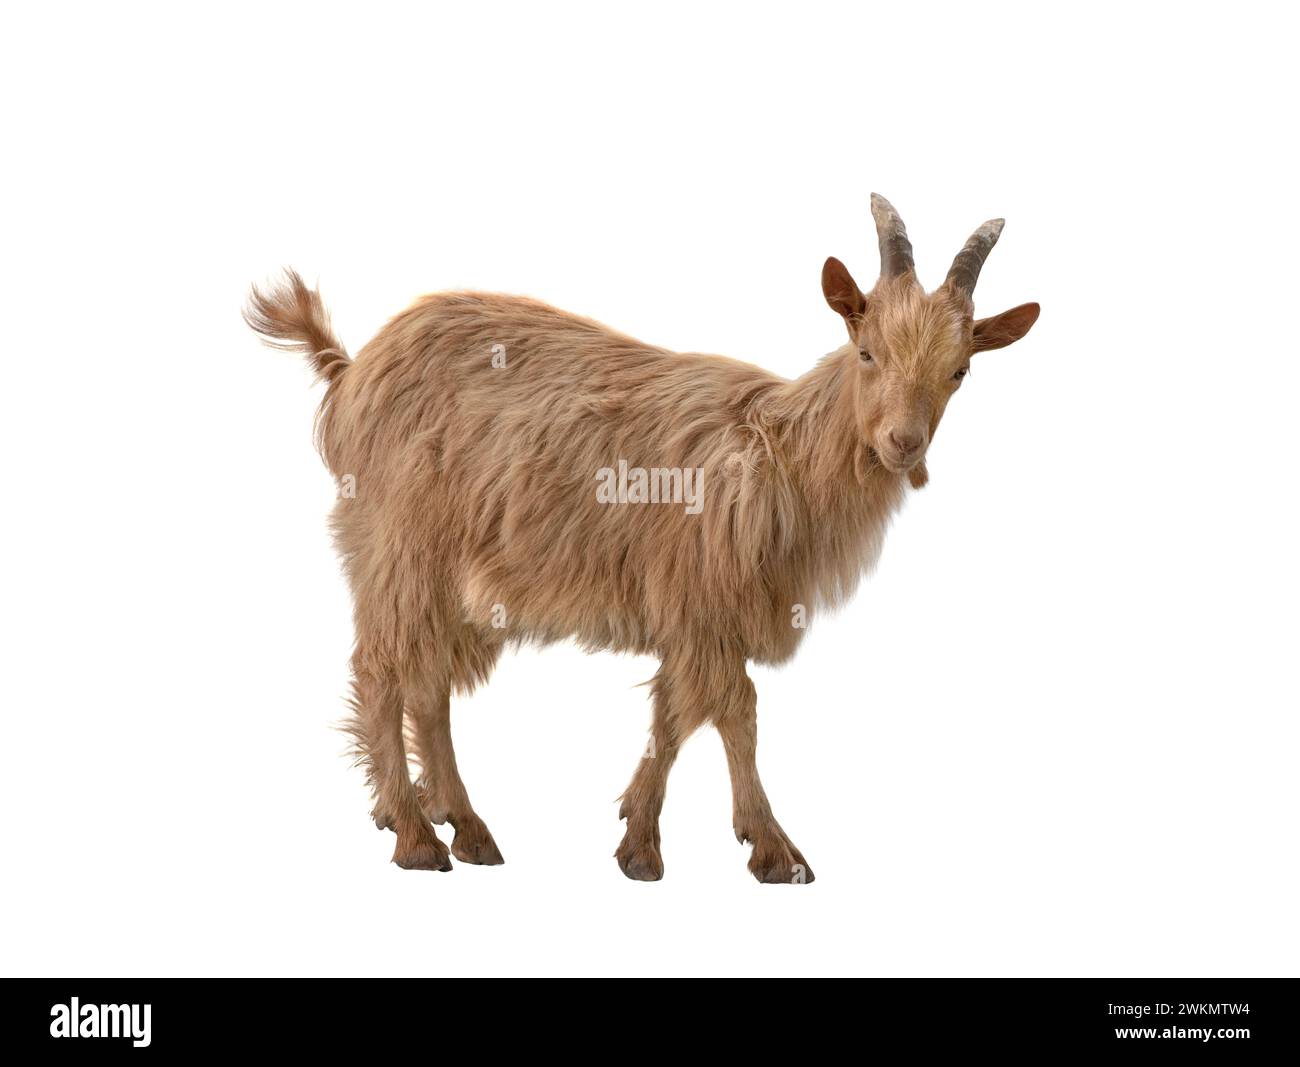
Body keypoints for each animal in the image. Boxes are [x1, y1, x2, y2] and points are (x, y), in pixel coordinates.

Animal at [245, 195, 1039, 883]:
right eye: (868, 350)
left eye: (959, 371)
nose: (903, 443)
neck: (778, 449)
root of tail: (352, 373)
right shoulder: (702, 598)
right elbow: (732, 710)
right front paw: (765, 848)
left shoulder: (699, 614)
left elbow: (677, 711)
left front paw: (640, 831)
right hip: (398, 545)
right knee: (382, 669)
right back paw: (415, 836)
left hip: (452, 579)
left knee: (429, 682)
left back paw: (463, 826)